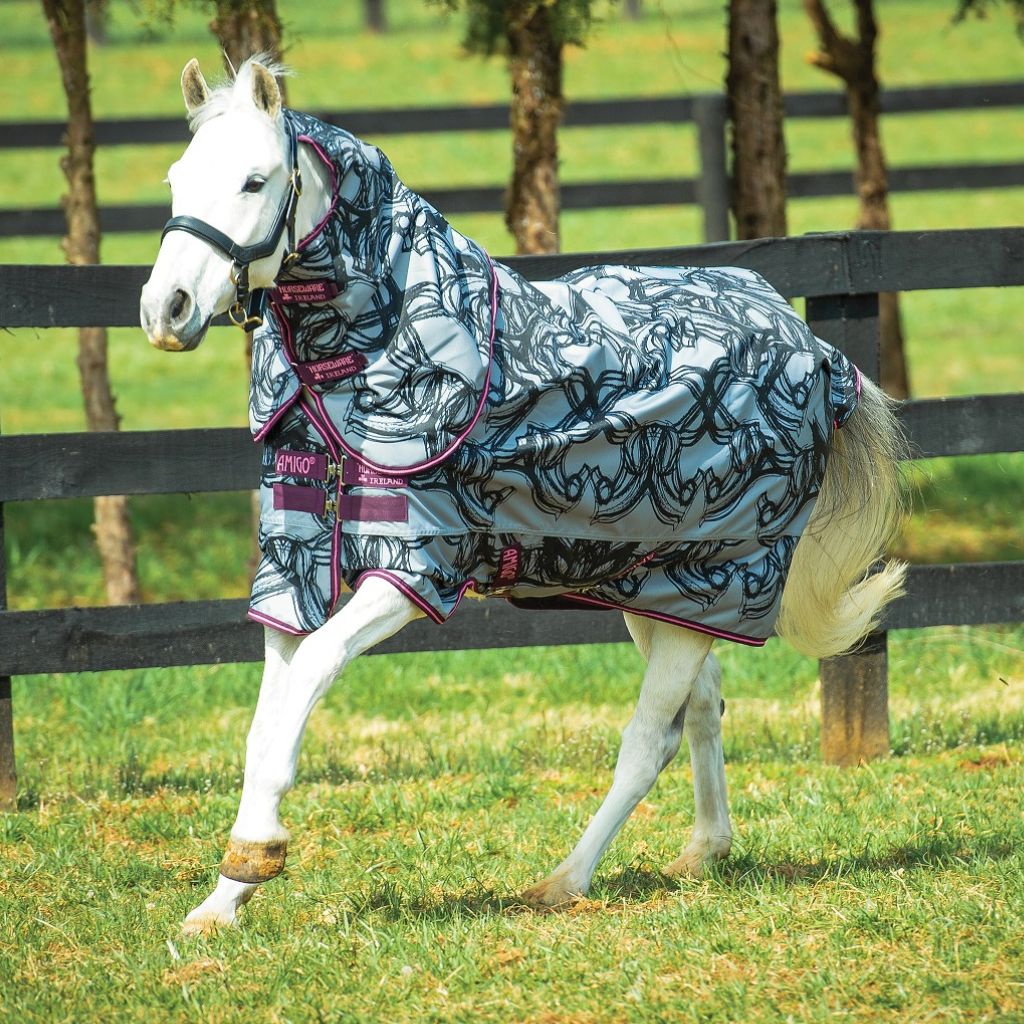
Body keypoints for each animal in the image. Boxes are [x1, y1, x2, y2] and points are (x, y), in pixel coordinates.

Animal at [140, 57, 906, 936]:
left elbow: (307, 685)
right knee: (702, 709)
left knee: (649, 739)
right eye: (177, 179)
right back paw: (702, 852)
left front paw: (257, 855)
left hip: (716, 582)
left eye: (254, 180)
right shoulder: (291, 569)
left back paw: (564, 881)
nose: (166, 310)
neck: (363, 368)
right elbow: (266, 721)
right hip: (660, 592)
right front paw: (223, 899)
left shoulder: (411, 569)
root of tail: (814, 348)